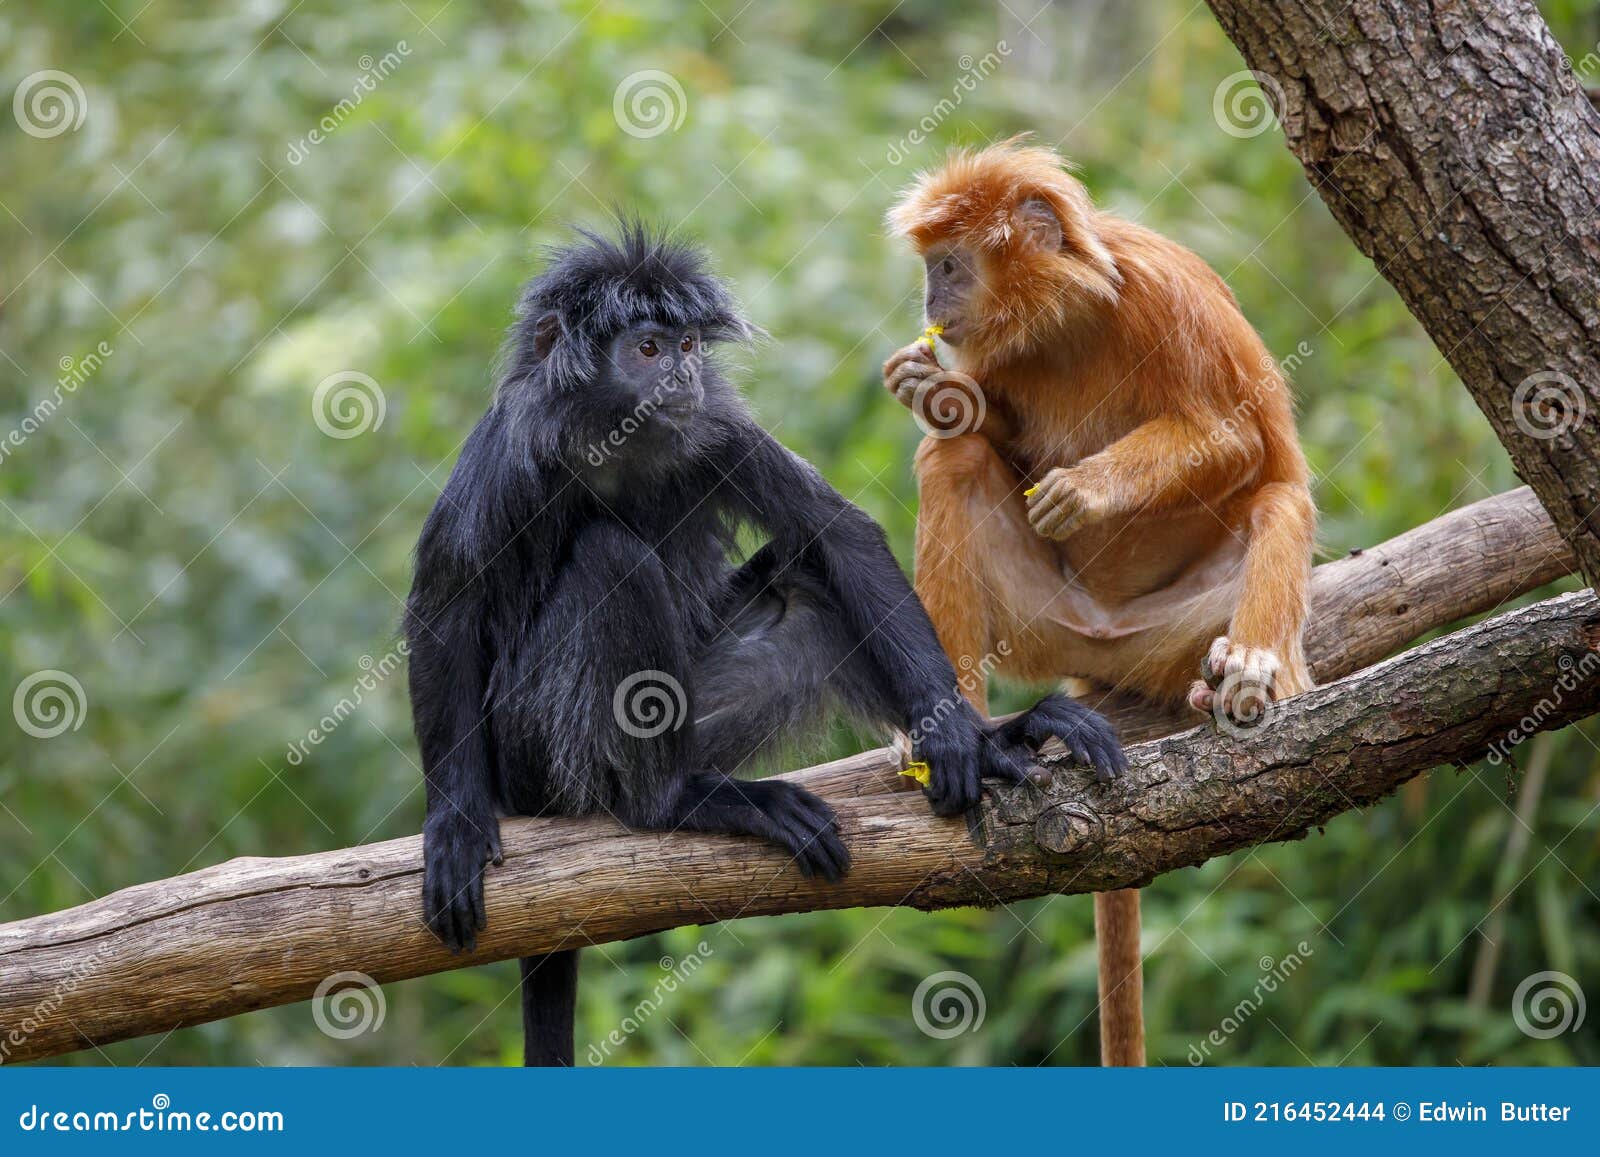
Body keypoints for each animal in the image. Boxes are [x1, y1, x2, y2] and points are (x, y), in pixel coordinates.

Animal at [404, 224, 1128, 1066]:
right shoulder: (508, 452)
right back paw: (674, 799)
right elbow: (445, 613)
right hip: (537, 742)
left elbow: (836, 532)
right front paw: (455, 825)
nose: (684, 371)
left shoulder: (713, 426)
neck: (613, 446)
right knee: (609, 557)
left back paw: (1001, 737)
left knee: (807, 581)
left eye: (687, 344)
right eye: (647, 348)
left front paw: (966, 737)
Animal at [880, 139, 1317, 1066]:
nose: (929, 304)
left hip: (1173, 631)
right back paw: (951, 721)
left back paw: (1246, 678)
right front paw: (933, 392)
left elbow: (1235, 441)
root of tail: (1106, 644)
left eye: (949, 266)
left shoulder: (1164, 295)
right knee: (952, 461)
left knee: (1277, 503)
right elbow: (981, 434)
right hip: (1047, 627)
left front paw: (1088, 490)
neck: (1072, 319)